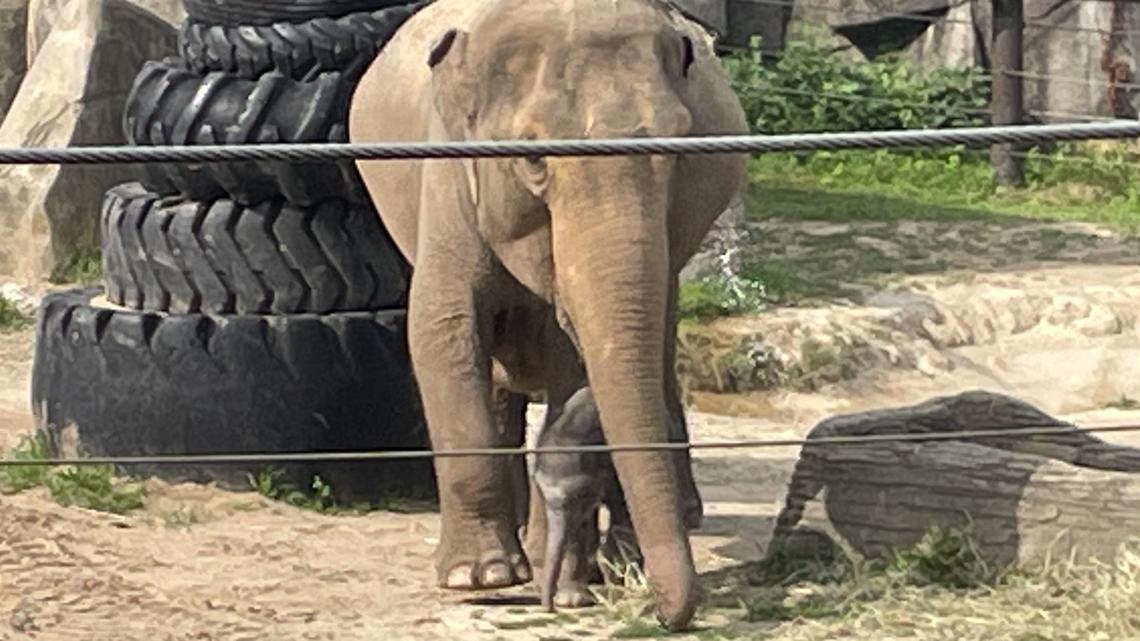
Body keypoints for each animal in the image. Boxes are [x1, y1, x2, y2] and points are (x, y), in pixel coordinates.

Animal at [348, 0, 748, 629]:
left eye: (681, 149)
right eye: (532, 155)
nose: (662, 612)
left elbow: (574, 355)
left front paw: (561, 580)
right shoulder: (448, 176)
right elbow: (444, 330)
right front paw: (480, 577)